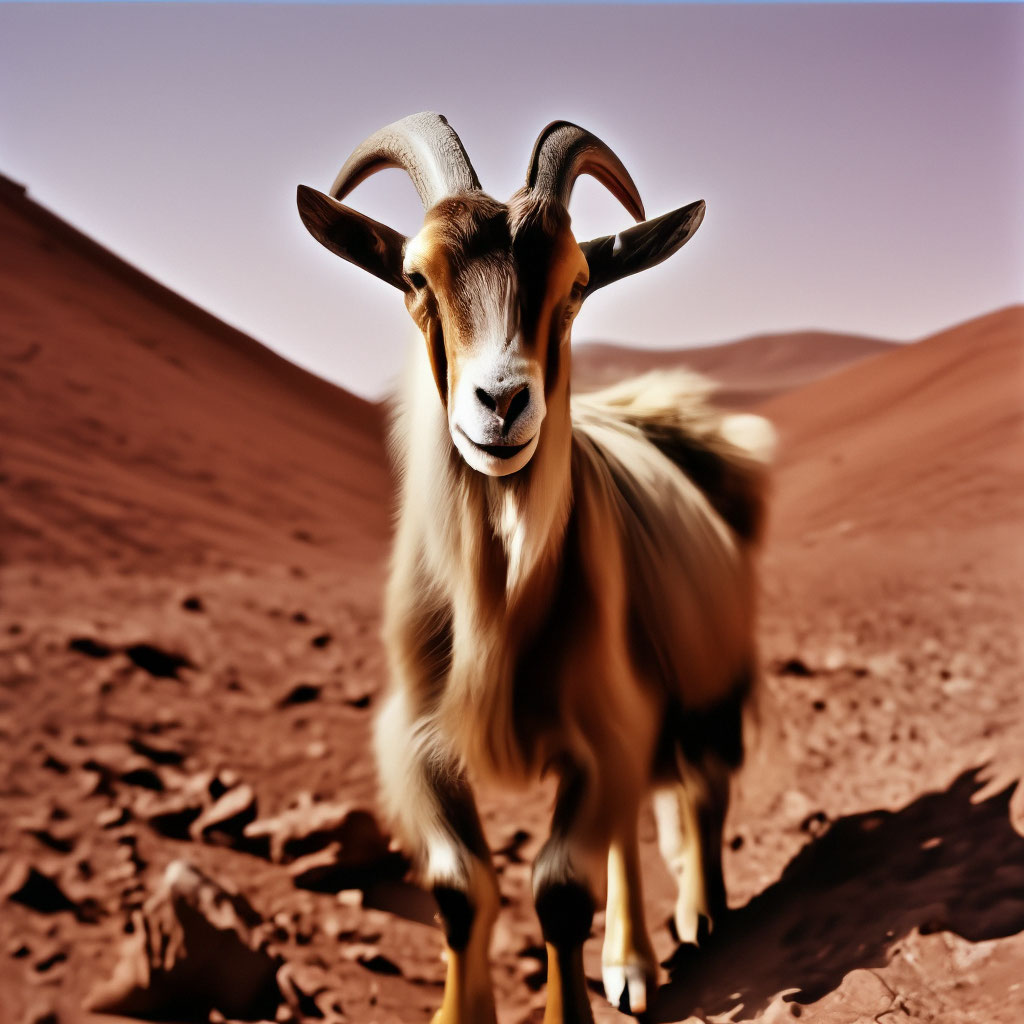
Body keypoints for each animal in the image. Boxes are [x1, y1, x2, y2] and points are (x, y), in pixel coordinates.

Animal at [297, 112, 774, 1024]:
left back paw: (696, 918)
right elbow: (461, 890)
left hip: (712, 690)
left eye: (579, 280)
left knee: (704, 794)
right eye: (414, 275)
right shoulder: (420, 744)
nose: (502, 403)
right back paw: (633, 961)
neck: (497, 610)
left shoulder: (604, 732)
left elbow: (558, 889)